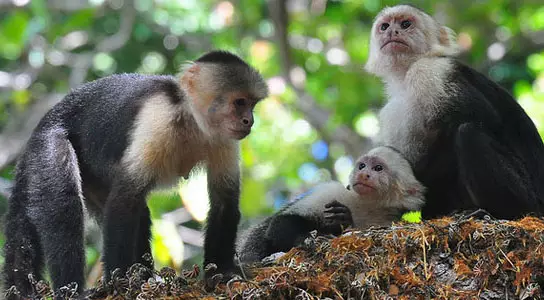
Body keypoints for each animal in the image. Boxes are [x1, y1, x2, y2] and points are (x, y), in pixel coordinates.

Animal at [2, 49, 268, 298]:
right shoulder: (159, 119)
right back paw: (73, 290)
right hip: (47, 145)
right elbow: (124, 201)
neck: (191, 119)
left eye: (252, 105)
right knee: (65, 209)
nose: (249, 121)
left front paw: (222, 272)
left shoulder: (224, 139)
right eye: (239, 102)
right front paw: (118, 283)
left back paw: (143, 277)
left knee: (137, 212)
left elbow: (224, 203)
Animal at [237, 146, 424, 264]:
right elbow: (280, 223)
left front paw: (343, 220)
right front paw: (308, 239)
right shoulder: (333, 192)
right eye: (362, 166)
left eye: (378, 168)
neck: (368, 205)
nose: (363, 174)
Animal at [364, 4, 544, 220]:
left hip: (530, 196)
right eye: (384, 26)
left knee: (468, 133)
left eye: (405, 24)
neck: (405, 76)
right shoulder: (391, 111)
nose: (392, 31)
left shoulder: (430, 71)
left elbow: (484, 119)